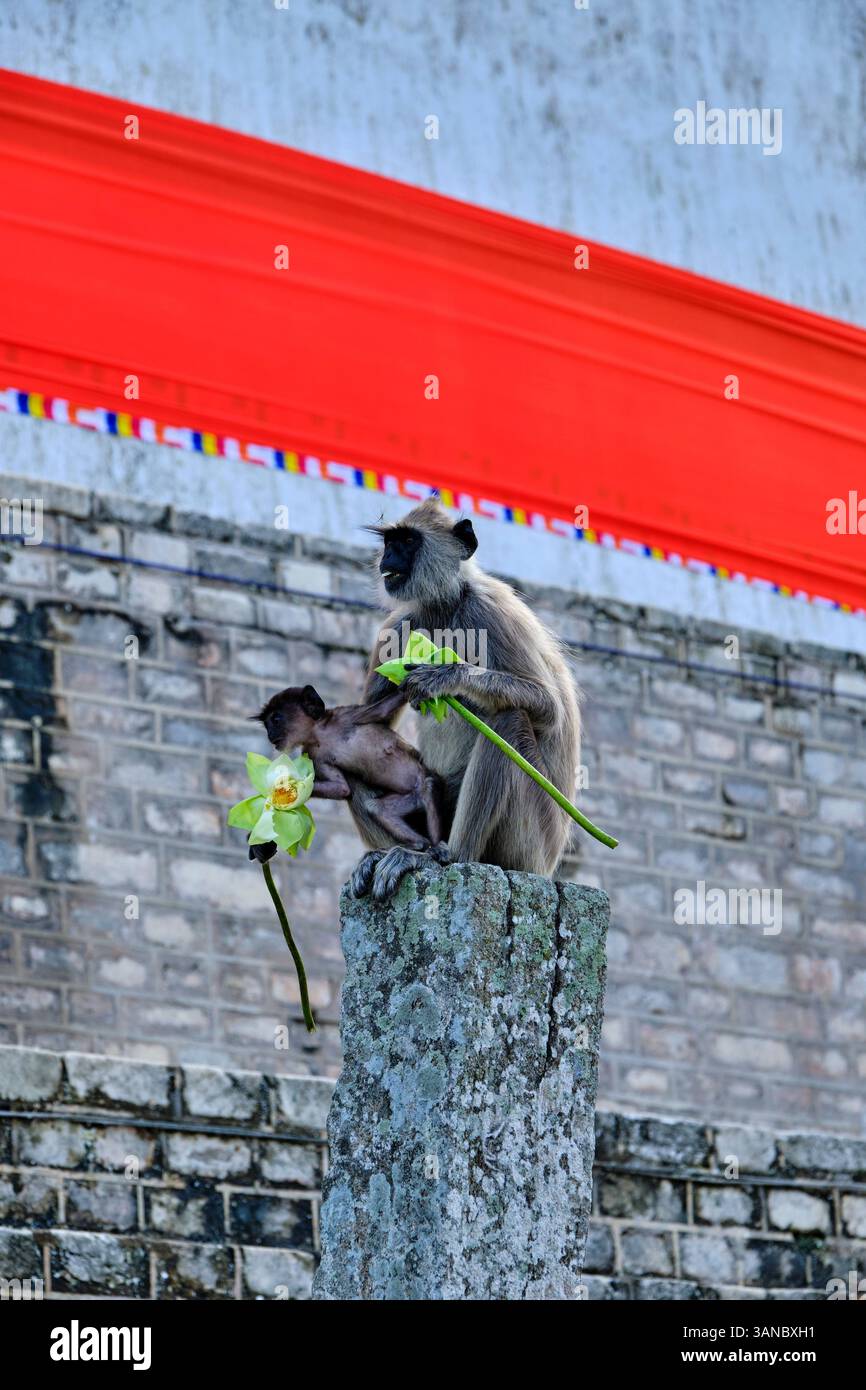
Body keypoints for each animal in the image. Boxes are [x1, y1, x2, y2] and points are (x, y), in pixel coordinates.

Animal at [250, 683, 449, 876]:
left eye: (276, 720)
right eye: (267, 724)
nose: (270, 734)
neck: (322, 733)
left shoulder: (346, 715)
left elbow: (384, 709)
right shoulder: (314, 753)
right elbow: (341, 788)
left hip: (422, 782)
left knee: (428, 787)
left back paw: (435, 850)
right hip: (409, 798)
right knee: (377, 808)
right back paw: (419, 845)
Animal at [354, 496, 582, 899]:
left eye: (408, 541)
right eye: (390, 542)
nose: (388, 558)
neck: (444, 606)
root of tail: (549, 865)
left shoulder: (490, 610)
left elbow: (548, 708)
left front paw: (445, 676)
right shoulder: (396, 628)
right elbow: (366, 723)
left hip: (530, 845)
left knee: (510, 719)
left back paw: (449, 857)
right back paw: (397, 852)